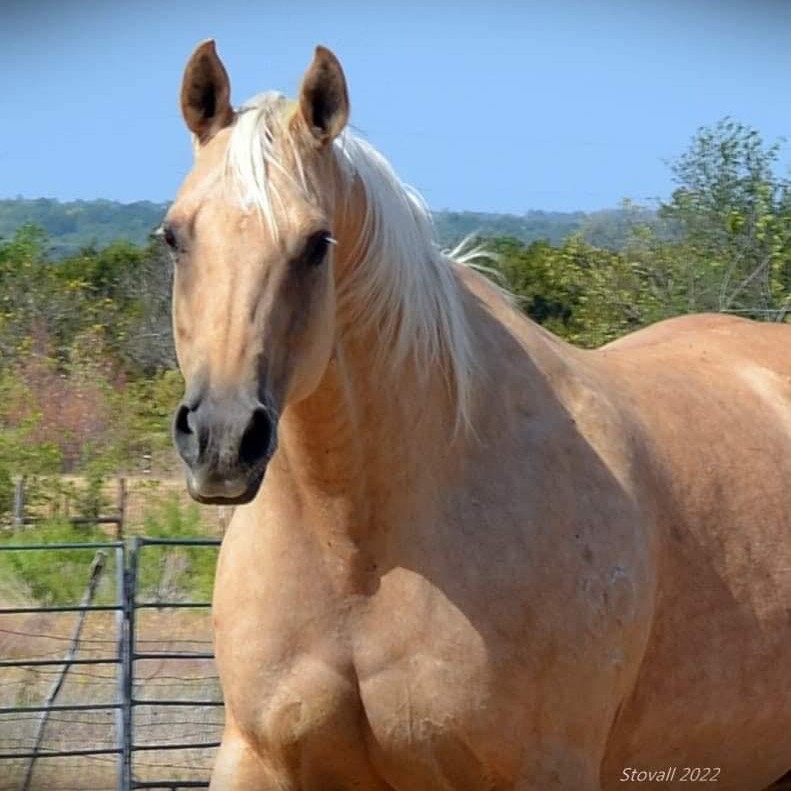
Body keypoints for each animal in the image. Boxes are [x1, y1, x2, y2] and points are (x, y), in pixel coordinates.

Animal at [165, 40, 791, 790]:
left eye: (316, 243)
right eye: (174, 236)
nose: (222, 440)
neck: (357, 556)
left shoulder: (547, 768)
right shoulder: (256, 757)